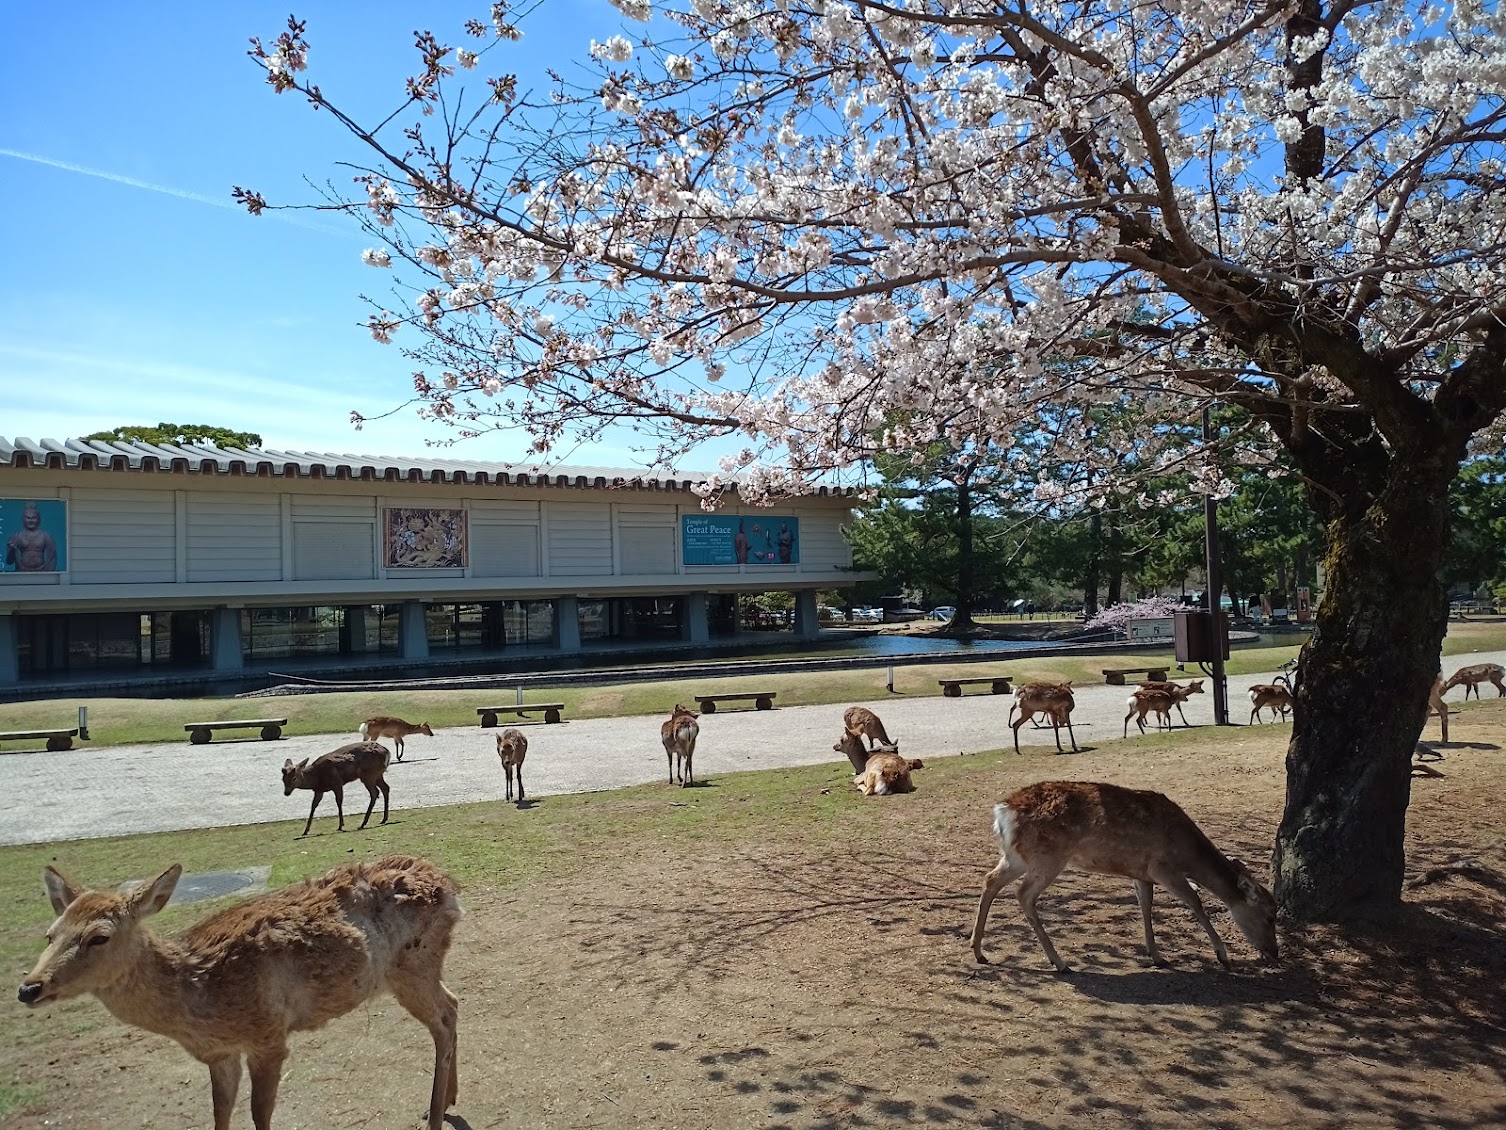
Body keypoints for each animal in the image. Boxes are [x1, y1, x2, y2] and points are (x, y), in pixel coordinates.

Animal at [18, 854, 461, 1130]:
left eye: (99, 937)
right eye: (51, 934)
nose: (29, 987)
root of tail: (451, 888)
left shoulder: (268, 1035)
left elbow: (259, 1113)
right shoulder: (219, 1053)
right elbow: (220, 1113)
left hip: (412, 966)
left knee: (442, 1020)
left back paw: (434, 1115)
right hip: (421, 967)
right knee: (454, 1004)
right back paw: (449, 1100)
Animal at [969, 780, 1279, 973]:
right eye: (1269, 916)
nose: (1274, 953)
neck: (1186, 852)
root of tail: (1003, 811)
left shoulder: (1141, 872)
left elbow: (1145, 905)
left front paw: (1156, 955)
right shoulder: (1162, 867)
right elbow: (1195, 901)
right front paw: (1223, 956)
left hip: (1017, 857)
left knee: (990, 879)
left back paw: (979, 951)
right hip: (1048, 857)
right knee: (1024, 895)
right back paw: (1060, 962)